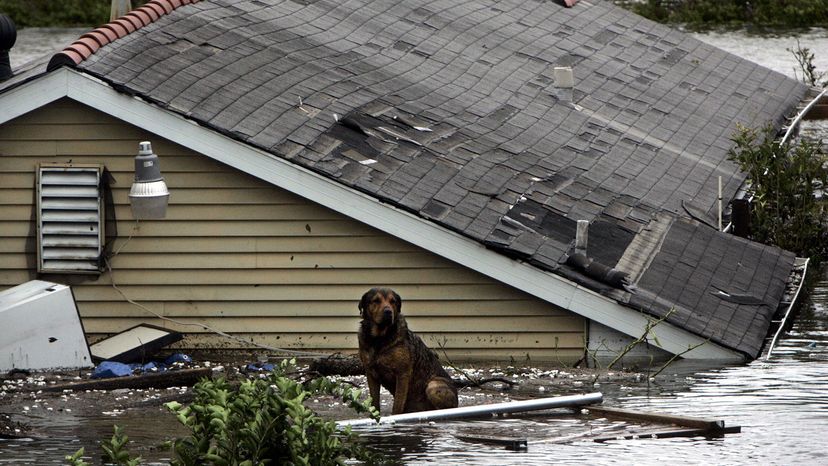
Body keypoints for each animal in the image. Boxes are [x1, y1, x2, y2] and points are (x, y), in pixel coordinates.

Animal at [358, 288, 460, 416]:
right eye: (376, 300)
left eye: (393, 301)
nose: (388, 312)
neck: (379, 339)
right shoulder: (371, 374)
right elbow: (374, 402)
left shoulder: (402, 374)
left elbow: (397, 406)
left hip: (433, 385)